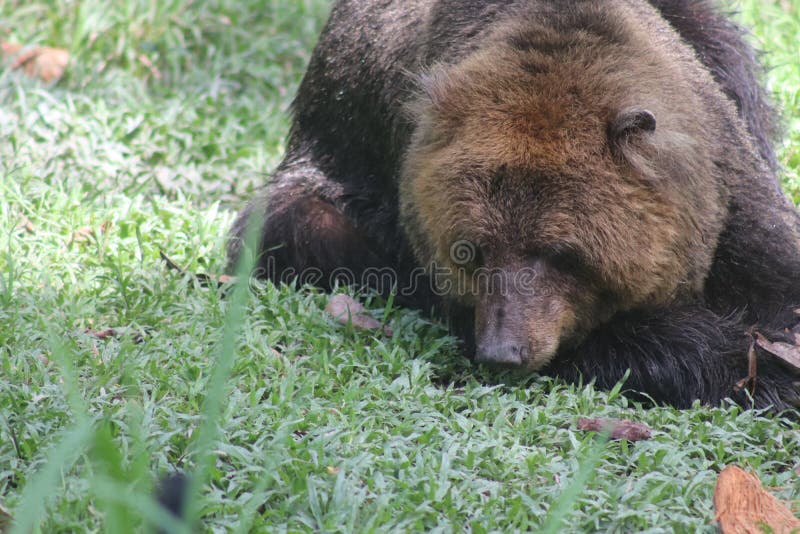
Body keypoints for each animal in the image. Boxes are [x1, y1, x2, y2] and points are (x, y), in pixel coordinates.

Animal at [227, 0, 800, 411]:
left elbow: (779, 283)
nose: (502, 351)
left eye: (562, 253)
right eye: (469, 250)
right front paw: (758, 370)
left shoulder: (728, 189)